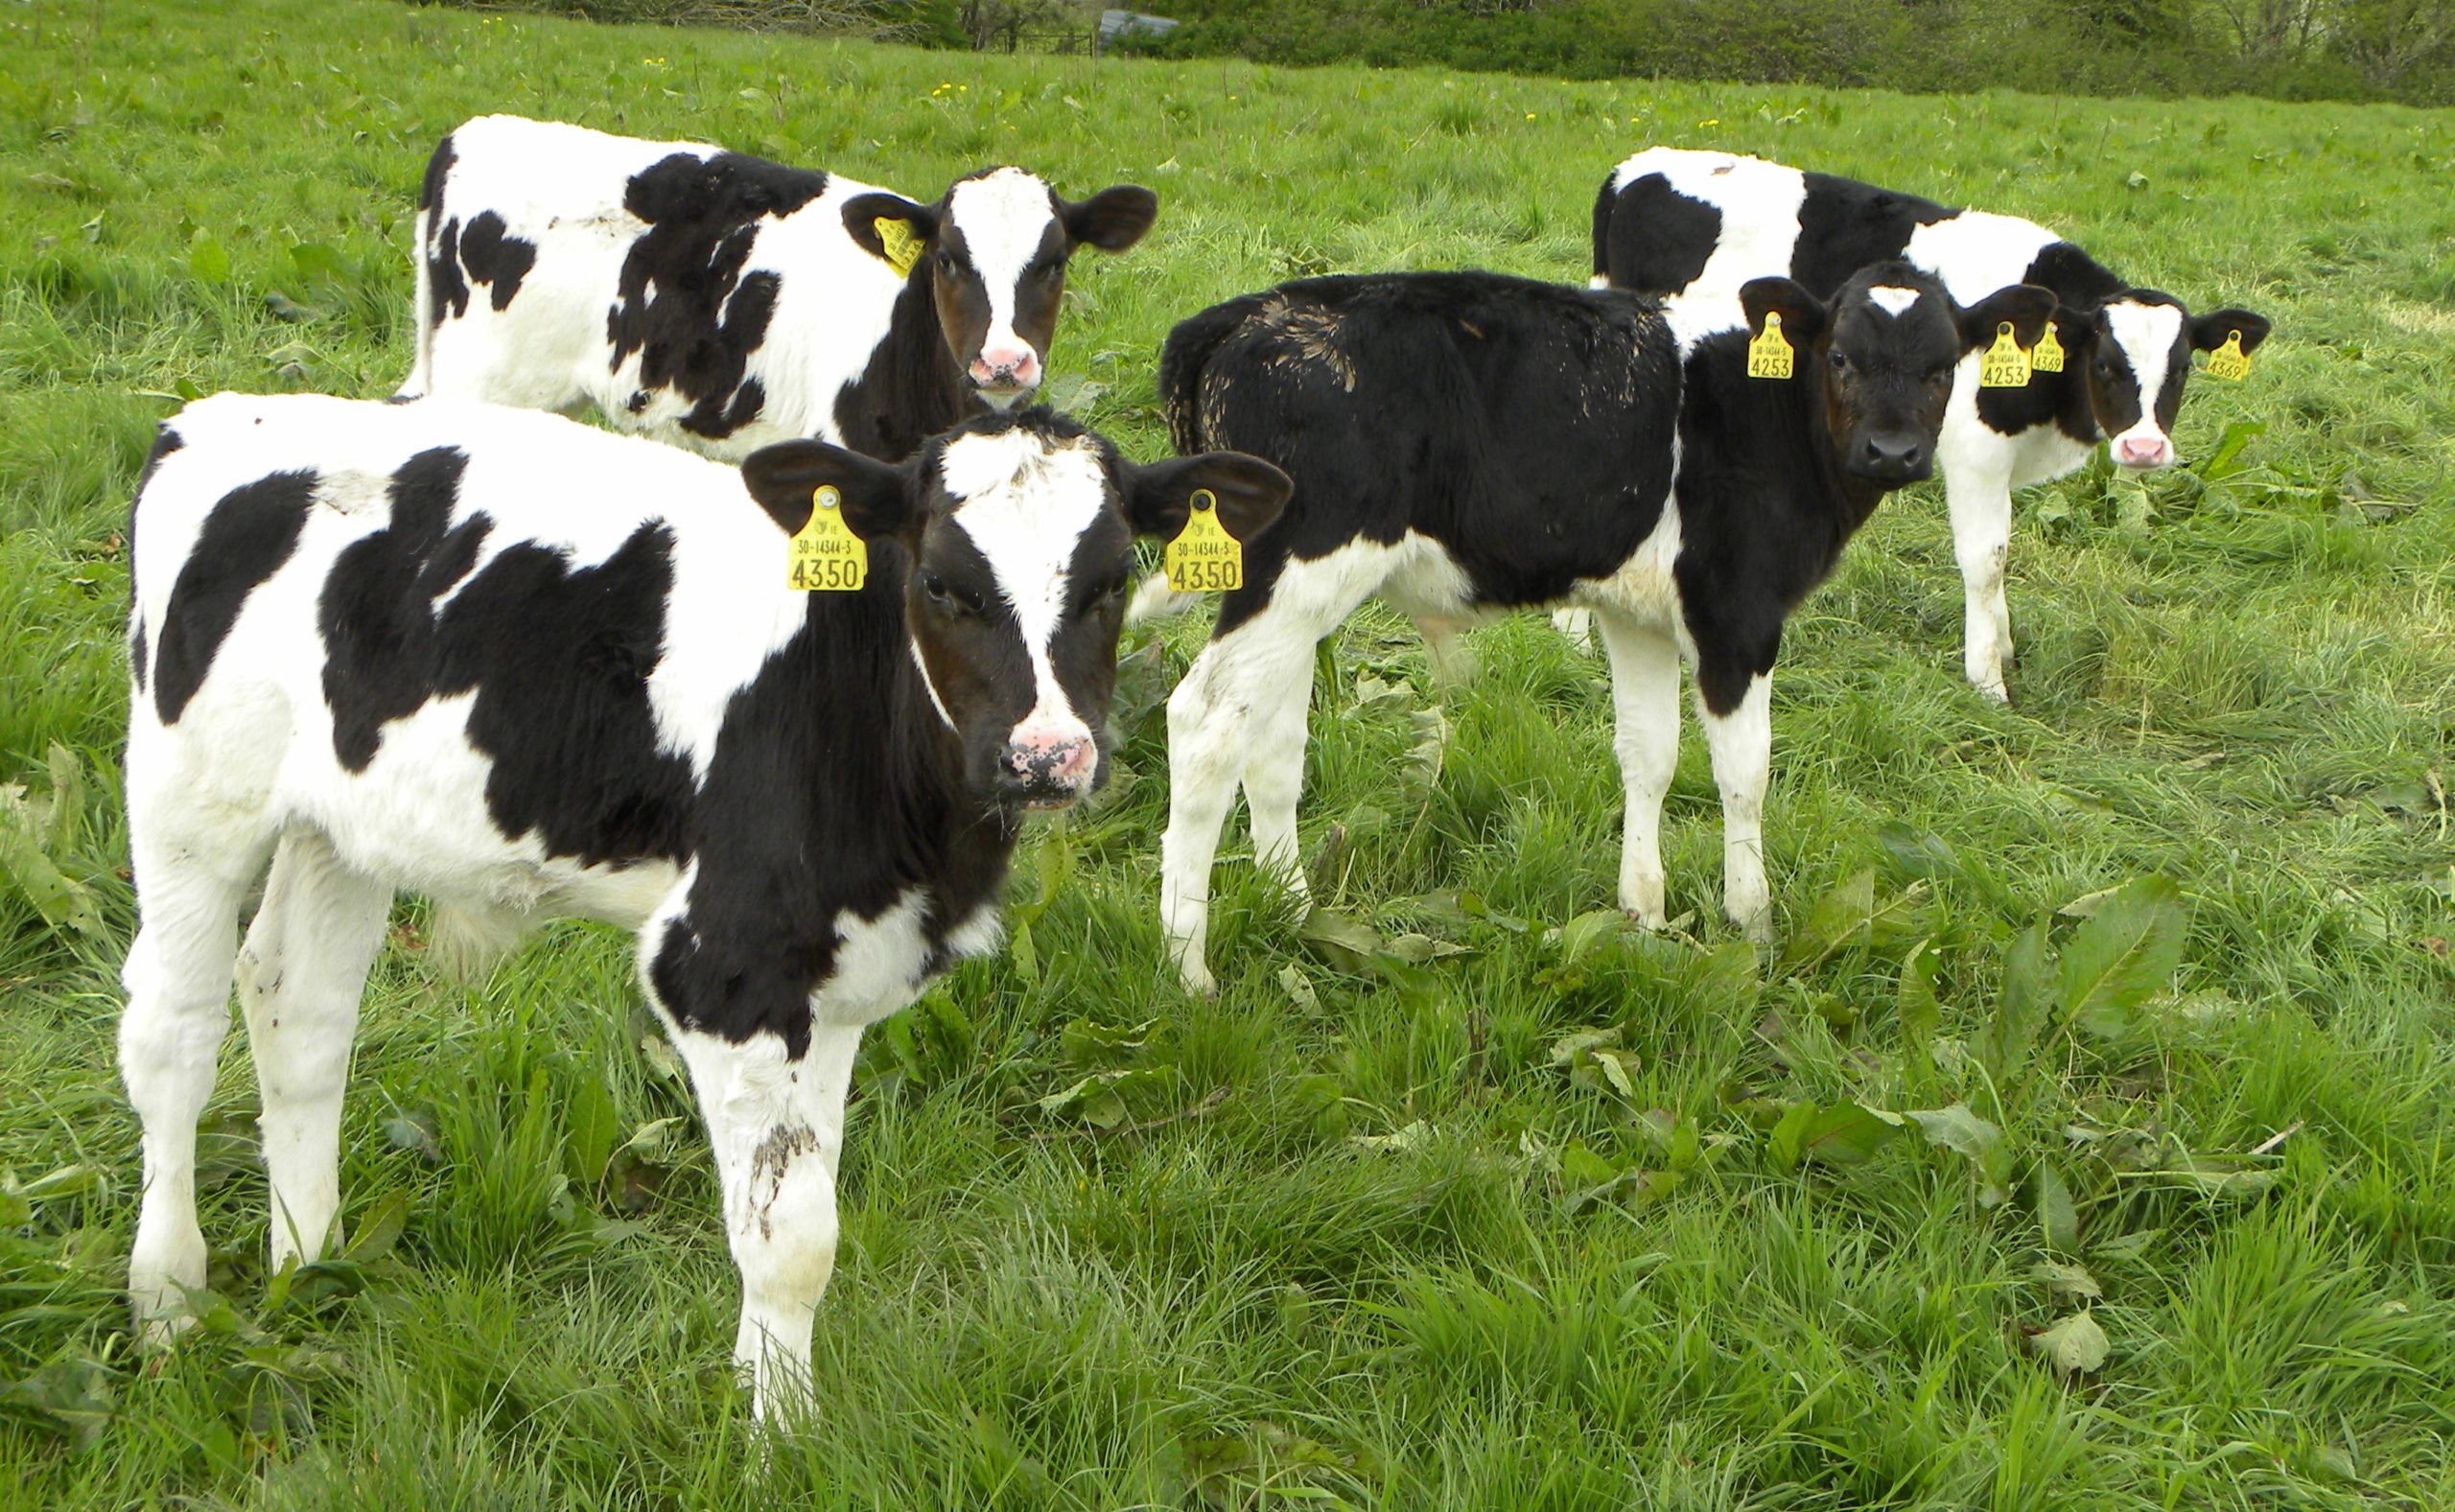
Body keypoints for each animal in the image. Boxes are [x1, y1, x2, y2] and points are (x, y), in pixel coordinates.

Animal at [118, 393, 1289, 1420]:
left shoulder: (837, 969)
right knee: (174, 1033)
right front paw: (782, 1438)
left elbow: (803, 1198)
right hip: (189, 800)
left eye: (1111, 581)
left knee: (300, 1007)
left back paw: (310, 1265)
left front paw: (761, 1392)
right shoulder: (725, 960)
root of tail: (213, 418)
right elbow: (794, 1236)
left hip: (340, 824)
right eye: (943, 583)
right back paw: (167, 1302)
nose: (1047, 756)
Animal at [1152, 263, 2054, 995]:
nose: (1893, 450)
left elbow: (1648, 756)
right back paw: (1189, 970)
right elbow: (1745, 775)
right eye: (1841, 357)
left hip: (1294, 596)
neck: (1765, 412)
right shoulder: (1738, 614)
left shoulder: (1635, 616)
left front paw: (1643, 913)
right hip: (1303, 566)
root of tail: (1244, 316)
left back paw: (1293, 909)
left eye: (1943, 365)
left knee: (1271, 745)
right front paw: (1752, 925)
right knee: (1203, 722)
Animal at [1589, 147, 2272, 700]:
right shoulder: (1976, 449)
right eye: (2105, 364)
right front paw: (1988, 682)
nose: (2145, 448)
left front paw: (2005, 649)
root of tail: (1635, 168)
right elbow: (1987, 557)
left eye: (2182, 368)